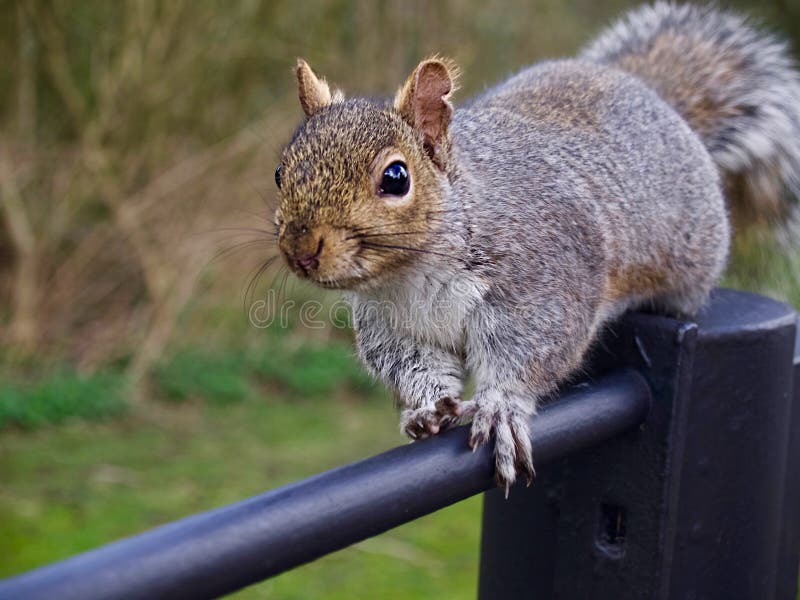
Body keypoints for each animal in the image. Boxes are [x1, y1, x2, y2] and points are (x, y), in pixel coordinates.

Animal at [272, 2, 800, 493]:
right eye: (280, 172)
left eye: (396, 178)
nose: (301, 250)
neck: (413, 274)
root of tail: (650, 95)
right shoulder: (394, 326)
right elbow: (414, 367)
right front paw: (426, 412)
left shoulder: (545, 286)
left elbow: (529, 354)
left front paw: (502, 409)